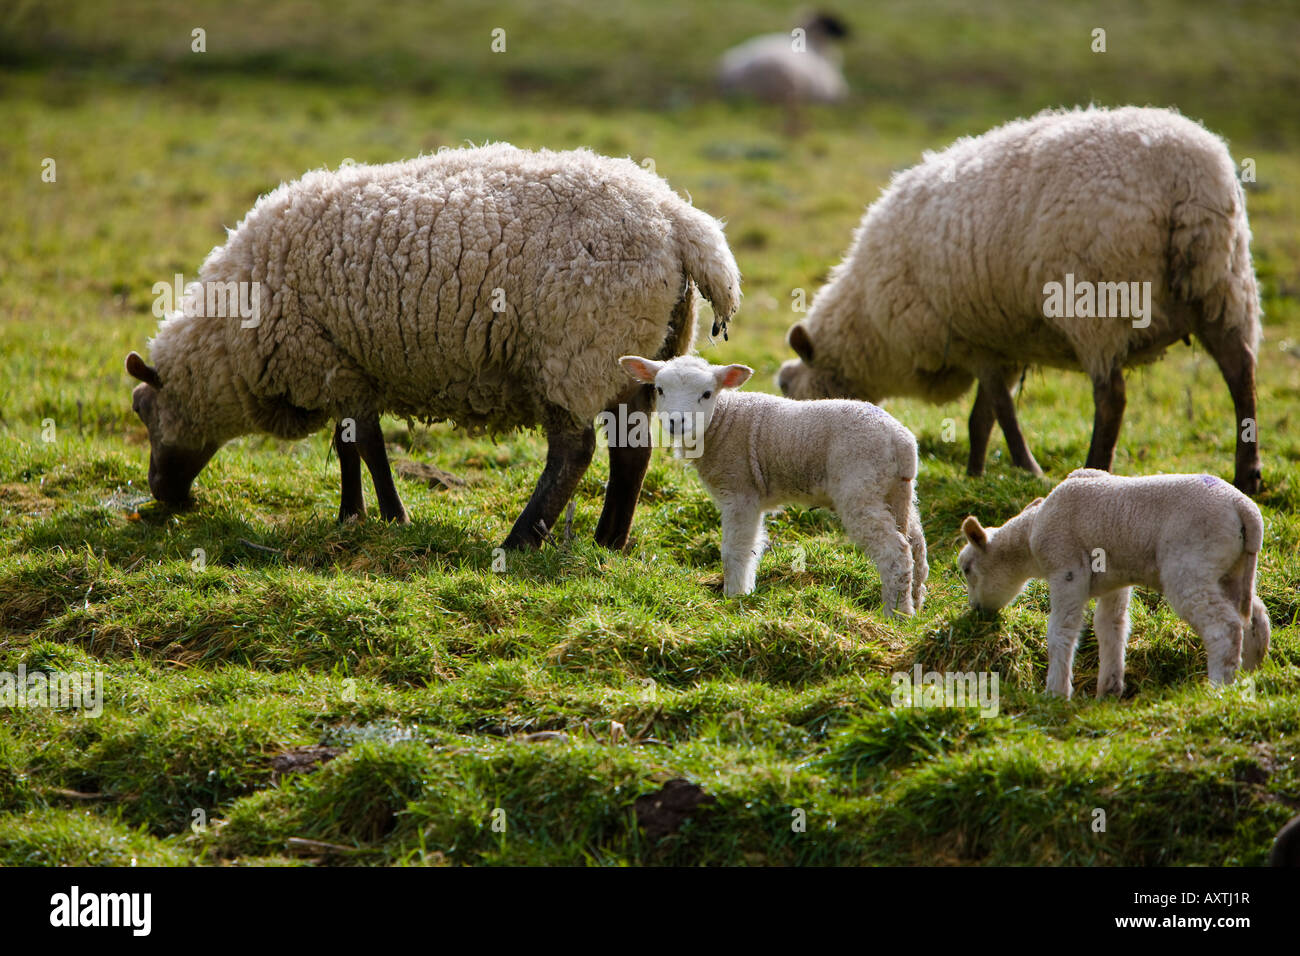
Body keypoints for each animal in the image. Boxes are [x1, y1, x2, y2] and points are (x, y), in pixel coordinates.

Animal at [125, 143, 741, 551]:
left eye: (144, 410)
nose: (161, 494)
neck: (233, 345)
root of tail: (680, 221)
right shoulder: (349, 368)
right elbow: (352, 446)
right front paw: (353, 515)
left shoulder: (330, 364)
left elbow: (365, 446)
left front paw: (385, 516)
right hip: (636, 355)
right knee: (631, 451)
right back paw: (607, 539)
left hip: (576, 351)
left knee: (574, 452)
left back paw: (521, 539)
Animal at [619, 354, 928, 613]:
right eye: (660, 390)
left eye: (706, 394)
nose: (676, 422)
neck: (722, 421)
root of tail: (902, 442)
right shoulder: (752, 498)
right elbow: (753, 546)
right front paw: (745, 591)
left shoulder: (740, 490)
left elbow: (735, 549)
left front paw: (733, 597)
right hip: (895, 490)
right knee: (916, 545)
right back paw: (916, 603)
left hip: (860, 486)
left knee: (895, 551)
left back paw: (897, 614)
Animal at [779, 106, 1263, 495]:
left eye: (789, 390)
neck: (870, 323)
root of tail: (1188, 179)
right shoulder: (999, 340)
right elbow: (982, 416)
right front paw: (976, 474)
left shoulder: (970, 340)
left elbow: (1000, 412)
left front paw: (1023, 468)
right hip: (1224, 289)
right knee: (1241, 374)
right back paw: (1248, 474)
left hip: (1100, 301)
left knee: (1112, 398)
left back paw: (1094, 470)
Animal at [958, 469, 1271, 698]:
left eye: (967, 569)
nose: (976, 610)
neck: (1030, 535)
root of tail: (1245, 509)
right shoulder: (1114, 581)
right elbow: (1111, 627)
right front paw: (1109, 690)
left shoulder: (1066, 568)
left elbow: (1061, 631)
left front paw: (1055, 694)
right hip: (1231, 569)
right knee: (1254, 615)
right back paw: (1250, 672)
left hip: (1191, 564)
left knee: (1223, 626)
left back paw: (1220, 686)